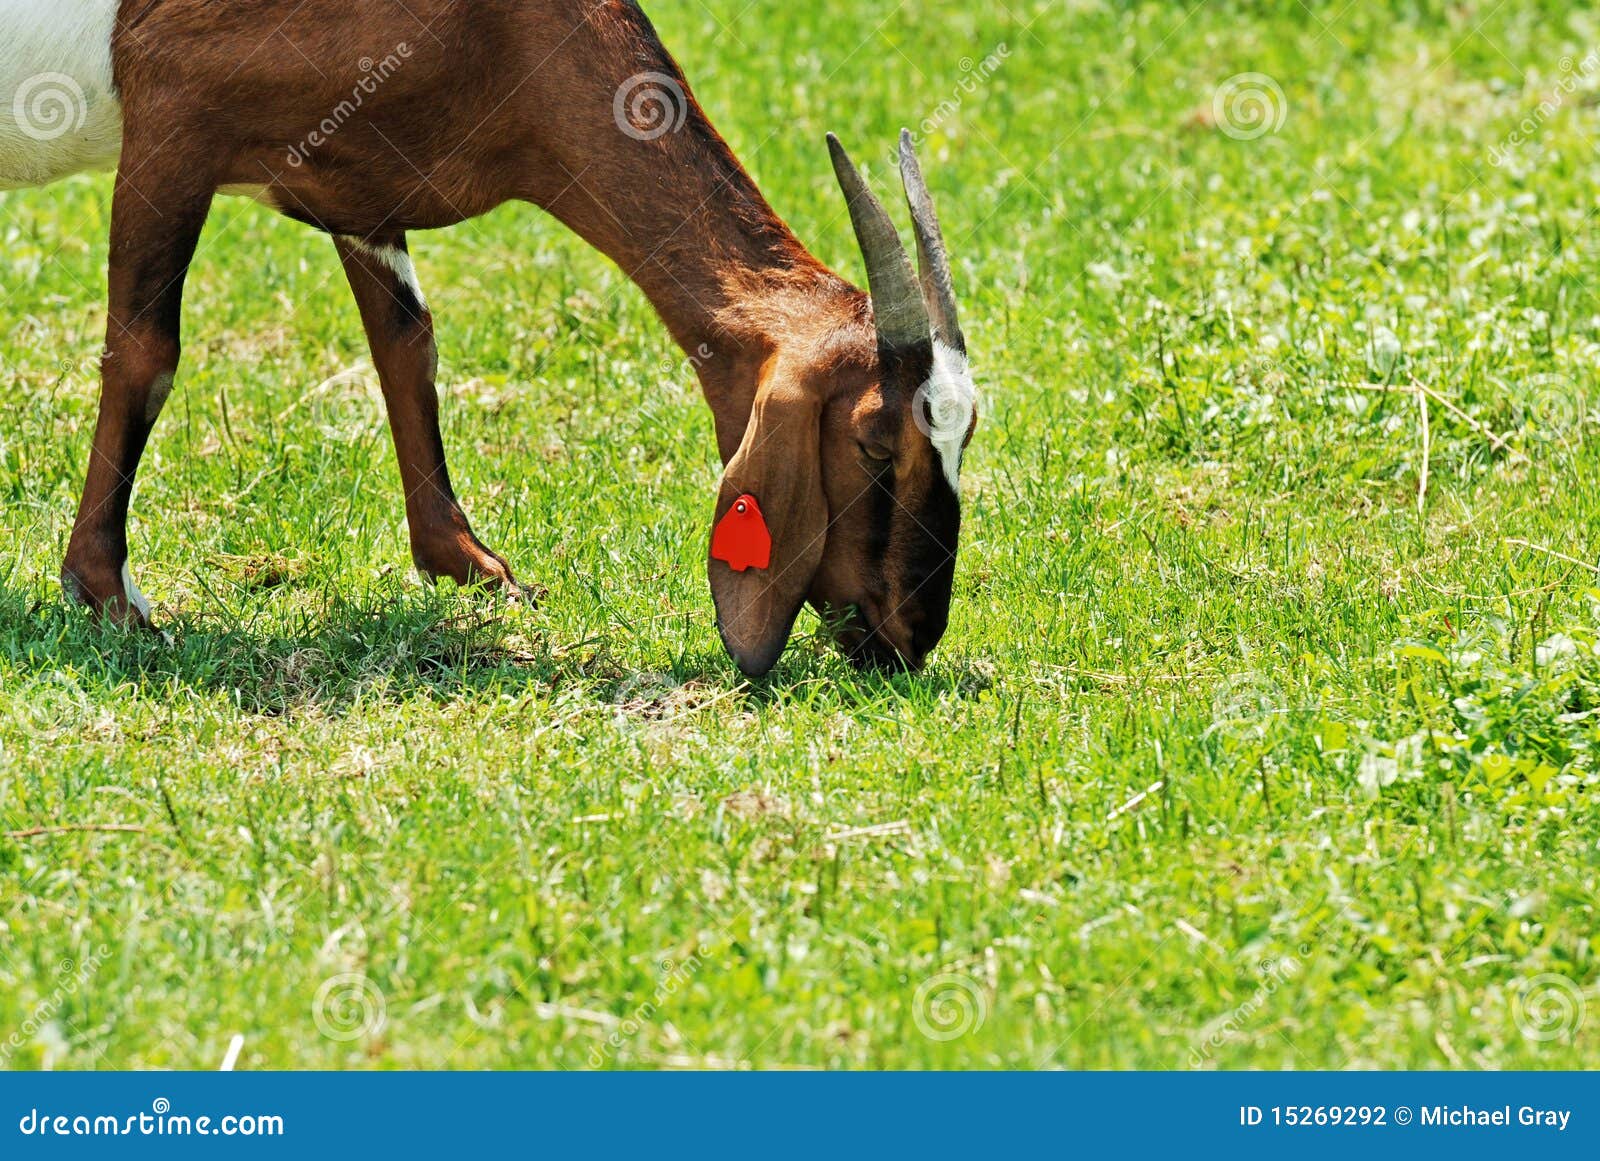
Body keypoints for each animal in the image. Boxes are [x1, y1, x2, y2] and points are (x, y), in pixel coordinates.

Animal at [0, 0, 978, 676]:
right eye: (874, 443)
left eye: (965, 435)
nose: (912, 633)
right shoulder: (172, 124)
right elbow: (146, 354)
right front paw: (106, 592)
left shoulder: (358, 180)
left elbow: (408, 345)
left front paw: (470, 565)